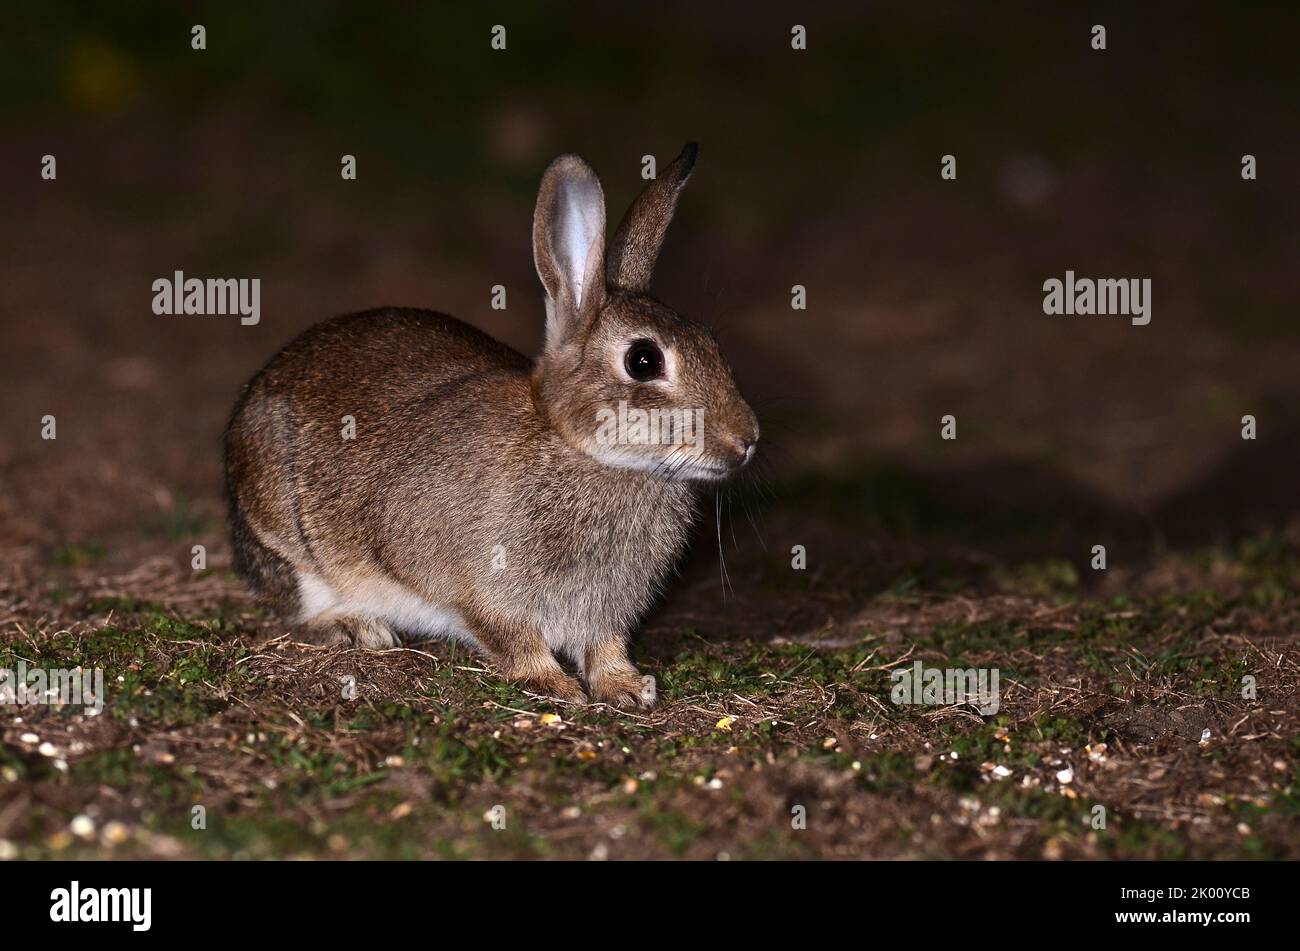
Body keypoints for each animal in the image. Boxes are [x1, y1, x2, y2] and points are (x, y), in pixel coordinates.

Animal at [224, 143, 758, 709]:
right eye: (643, 360)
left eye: (712, 343)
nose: (746, 441)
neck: (578, 448)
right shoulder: (476, 587)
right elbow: (510, 634)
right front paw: (553, 684)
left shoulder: (602, 614)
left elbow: (604, 645)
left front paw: (627, 687)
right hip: (288, 537)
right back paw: (356, 627)